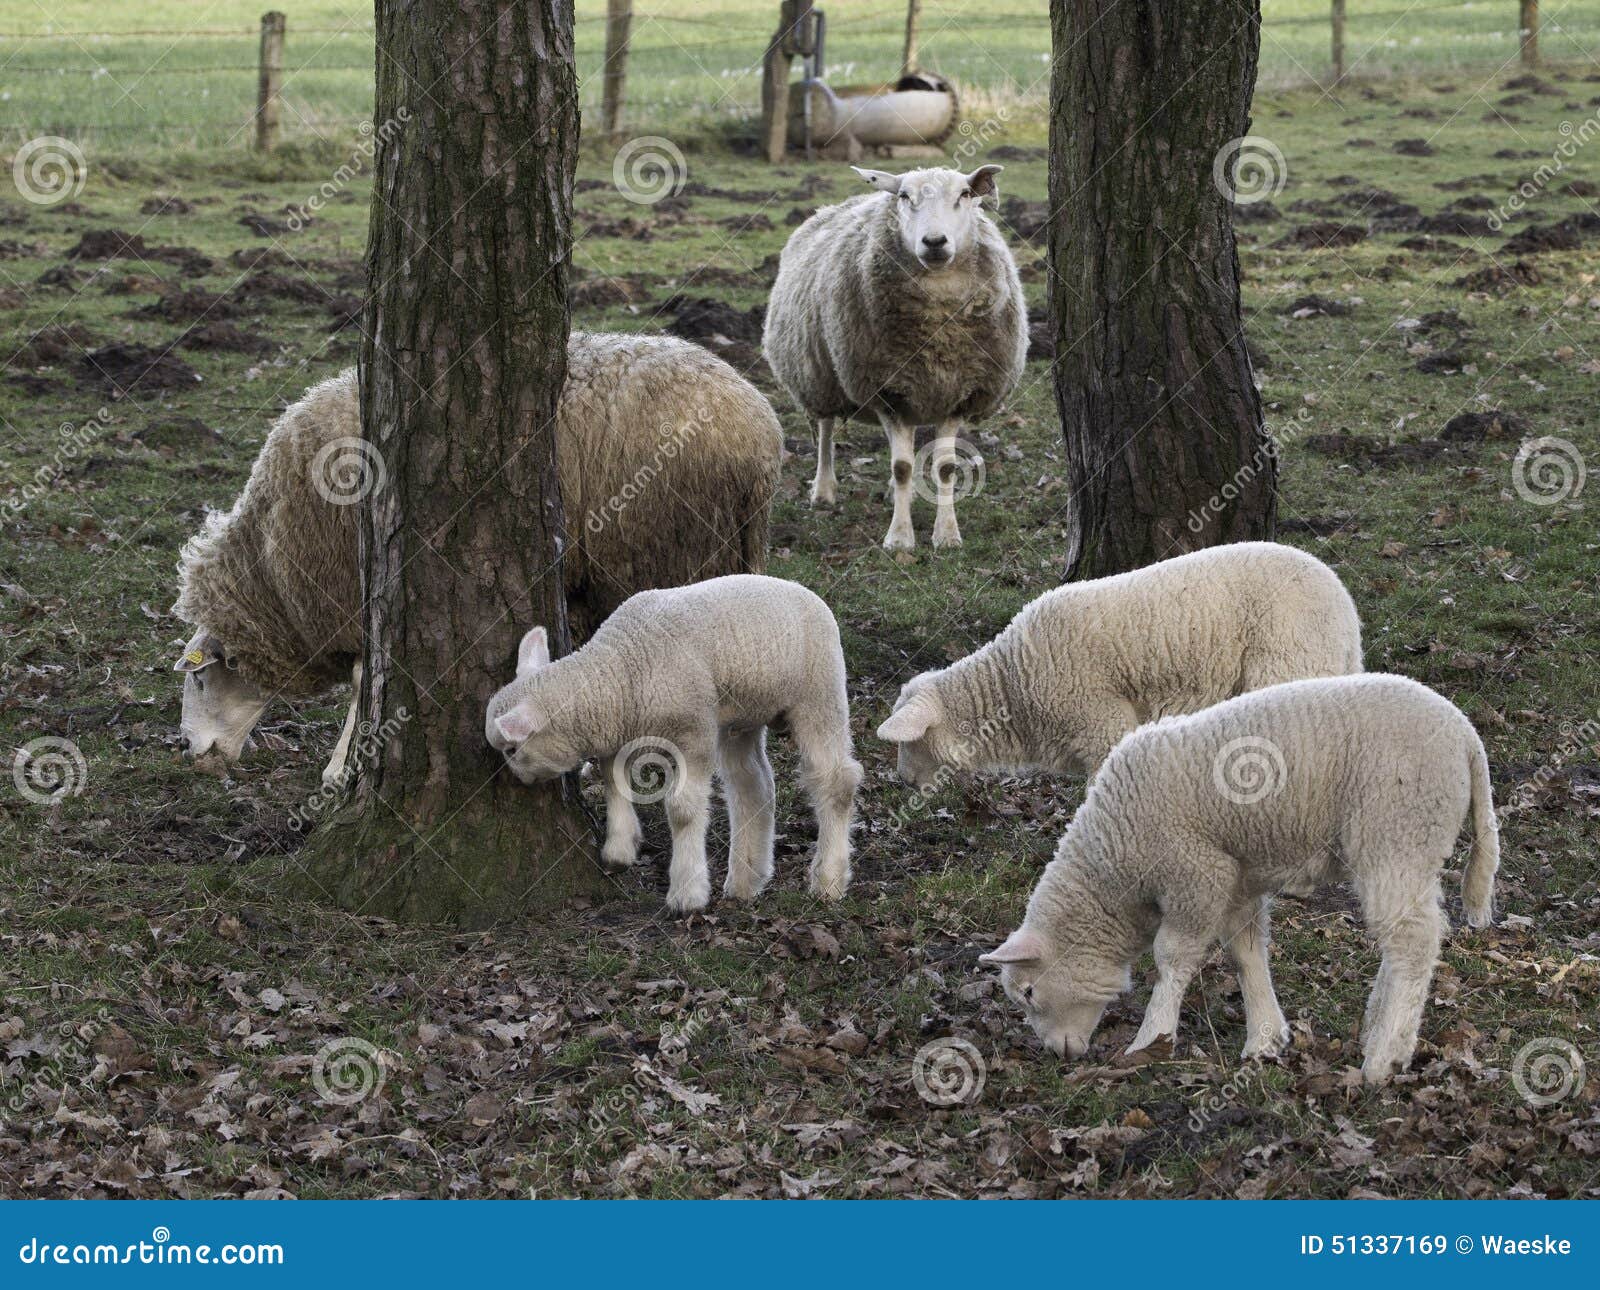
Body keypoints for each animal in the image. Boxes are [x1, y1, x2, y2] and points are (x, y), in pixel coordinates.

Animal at [172, 333, 784, 785]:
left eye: (200, 681)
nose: (191, 753)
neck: (271, 569)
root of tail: (760, 431)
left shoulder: (352, 589)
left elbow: (365, 678)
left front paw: (340, 766)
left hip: (671, 550)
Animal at [485, 575, 863, 914]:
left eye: (511, 750)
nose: (520, 780)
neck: (620, 670)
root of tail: (807, 593)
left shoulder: (693, 732)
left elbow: (682, 810)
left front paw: (686, 894)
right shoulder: (620, 731)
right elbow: (611, 778)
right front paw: (619, 850)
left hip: (819, 692)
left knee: (836, 780)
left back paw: (828, 879)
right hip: (741, 715)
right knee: (753, 786)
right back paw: (746, 880)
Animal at [762, 164, 1028, 550]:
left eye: (964, 195)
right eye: (904, 196)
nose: (935, 242)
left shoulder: (957, 393)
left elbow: (945, 467)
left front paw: (947, 535)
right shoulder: (887, 391)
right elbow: (900, 467)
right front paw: (900, 538)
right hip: (819, 375)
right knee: (825, 431)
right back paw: (823, 491)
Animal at [876, 542, 1362, 786]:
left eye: (911, 741)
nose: (902, 782)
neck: (1012, 684)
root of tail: (1344, 605)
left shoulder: (1101, 724)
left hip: (1288, 663)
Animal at [981, 673, 1500, 1083]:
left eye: (1028, 993)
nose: (1055, 1054)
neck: (1115, 865)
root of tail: (1466, 736)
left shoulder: (1196, 873)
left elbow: (1172, 957)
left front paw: (1151, 1039)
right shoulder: (1237, 880)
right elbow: (1247, 954)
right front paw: (1266, 1038)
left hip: (1398, 835)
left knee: (1414, 940)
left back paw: (1385, 1057)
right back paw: (1375, 1030)